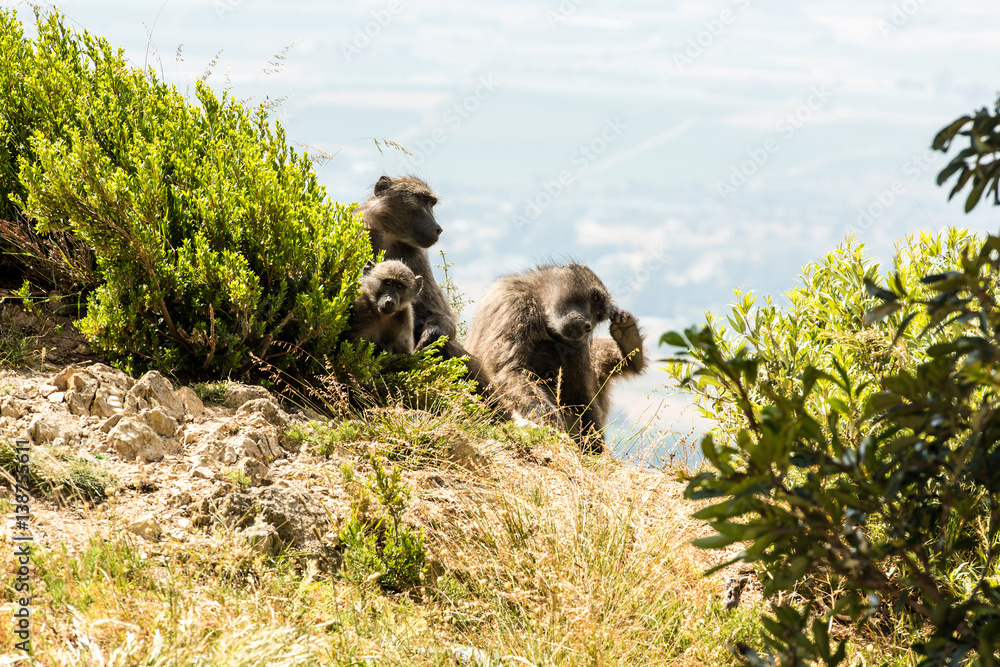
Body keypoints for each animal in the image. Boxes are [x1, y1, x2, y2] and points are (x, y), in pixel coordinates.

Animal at [465, 263, 646, 453]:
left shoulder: (577, 343)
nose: (588, 325)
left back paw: (629, 341)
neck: (540, 303)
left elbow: (578, 396)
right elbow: (509, 369)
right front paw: (551, 421)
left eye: (598, 315)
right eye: (595, 298)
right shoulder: (514, 304)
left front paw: (593, 446)